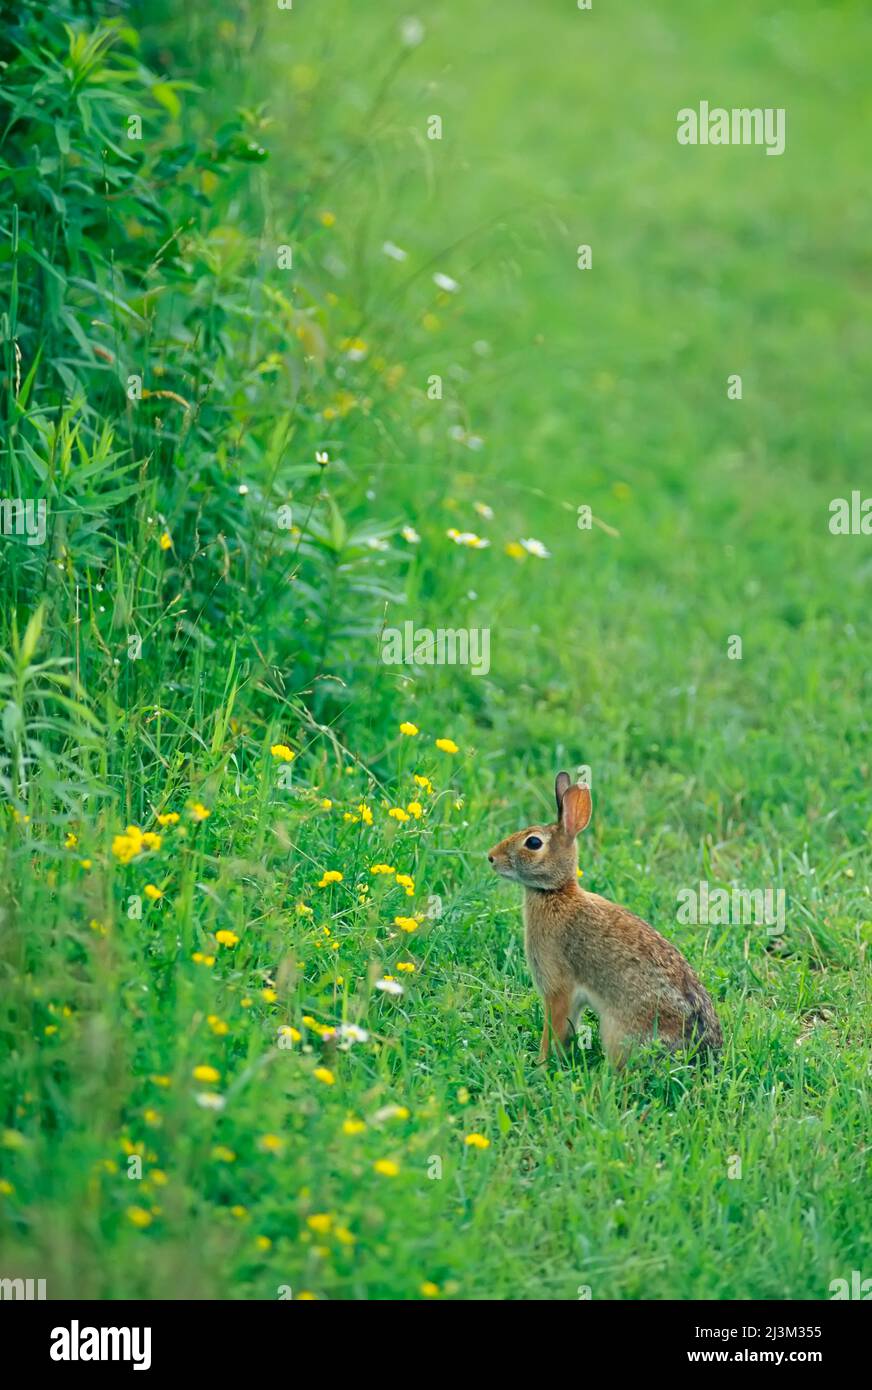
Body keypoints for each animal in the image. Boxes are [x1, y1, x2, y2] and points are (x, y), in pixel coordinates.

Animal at [487, 772, 722, 1065]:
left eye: (533, 843)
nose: (491, 857)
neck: (556, 892)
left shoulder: (557, 988)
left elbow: (554, 1029)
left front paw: (542, 1063)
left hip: (618, 1029)